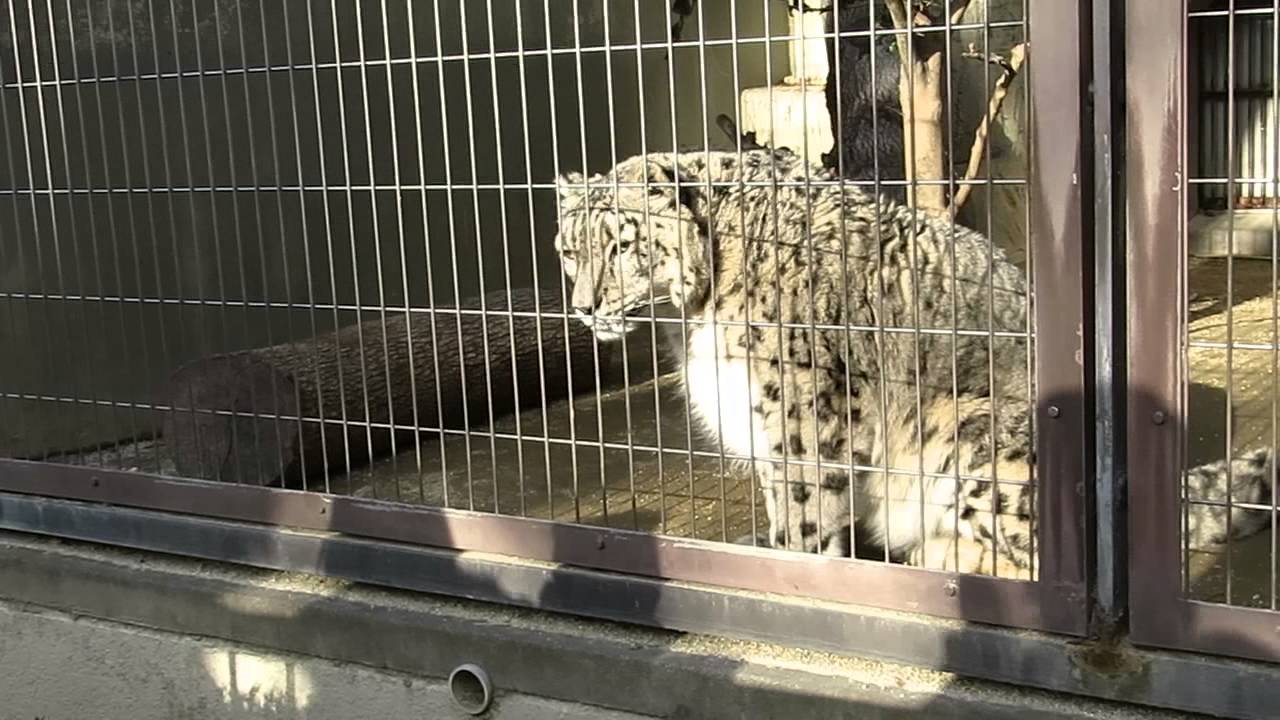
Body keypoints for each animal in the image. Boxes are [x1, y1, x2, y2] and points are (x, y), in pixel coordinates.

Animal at [551, 146, 1274, 578]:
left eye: (620, 246)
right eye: (567, 249)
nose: (584, 308)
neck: (694, 316)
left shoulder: (802, 411)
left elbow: (806, 505)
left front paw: (797, 569)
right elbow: (781, 497)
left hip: (970, 434)